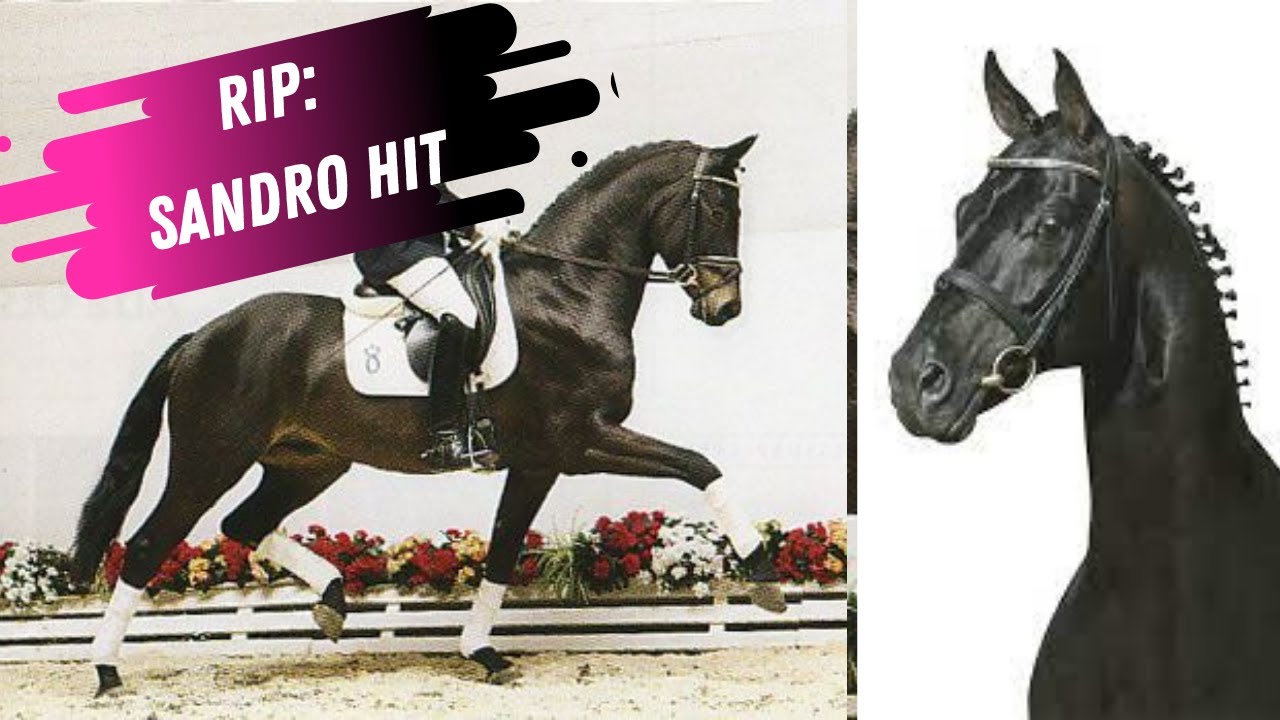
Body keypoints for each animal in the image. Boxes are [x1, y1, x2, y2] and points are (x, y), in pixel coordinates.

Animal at [70, 135, 783, 697]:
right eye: (718, 208)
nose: (724, 307)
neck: (569, 293)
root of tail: (201, 335)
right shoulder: (580, 442)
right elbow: (700, 466)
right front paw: (764, 575)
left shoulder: (539, 461)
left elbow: (502, 551)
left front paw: (482, 652)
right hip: (210, 457)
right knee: (147, 546)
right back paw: (106, 670)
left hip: (309, 461)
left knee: (243, 522)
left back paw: (332, 599)